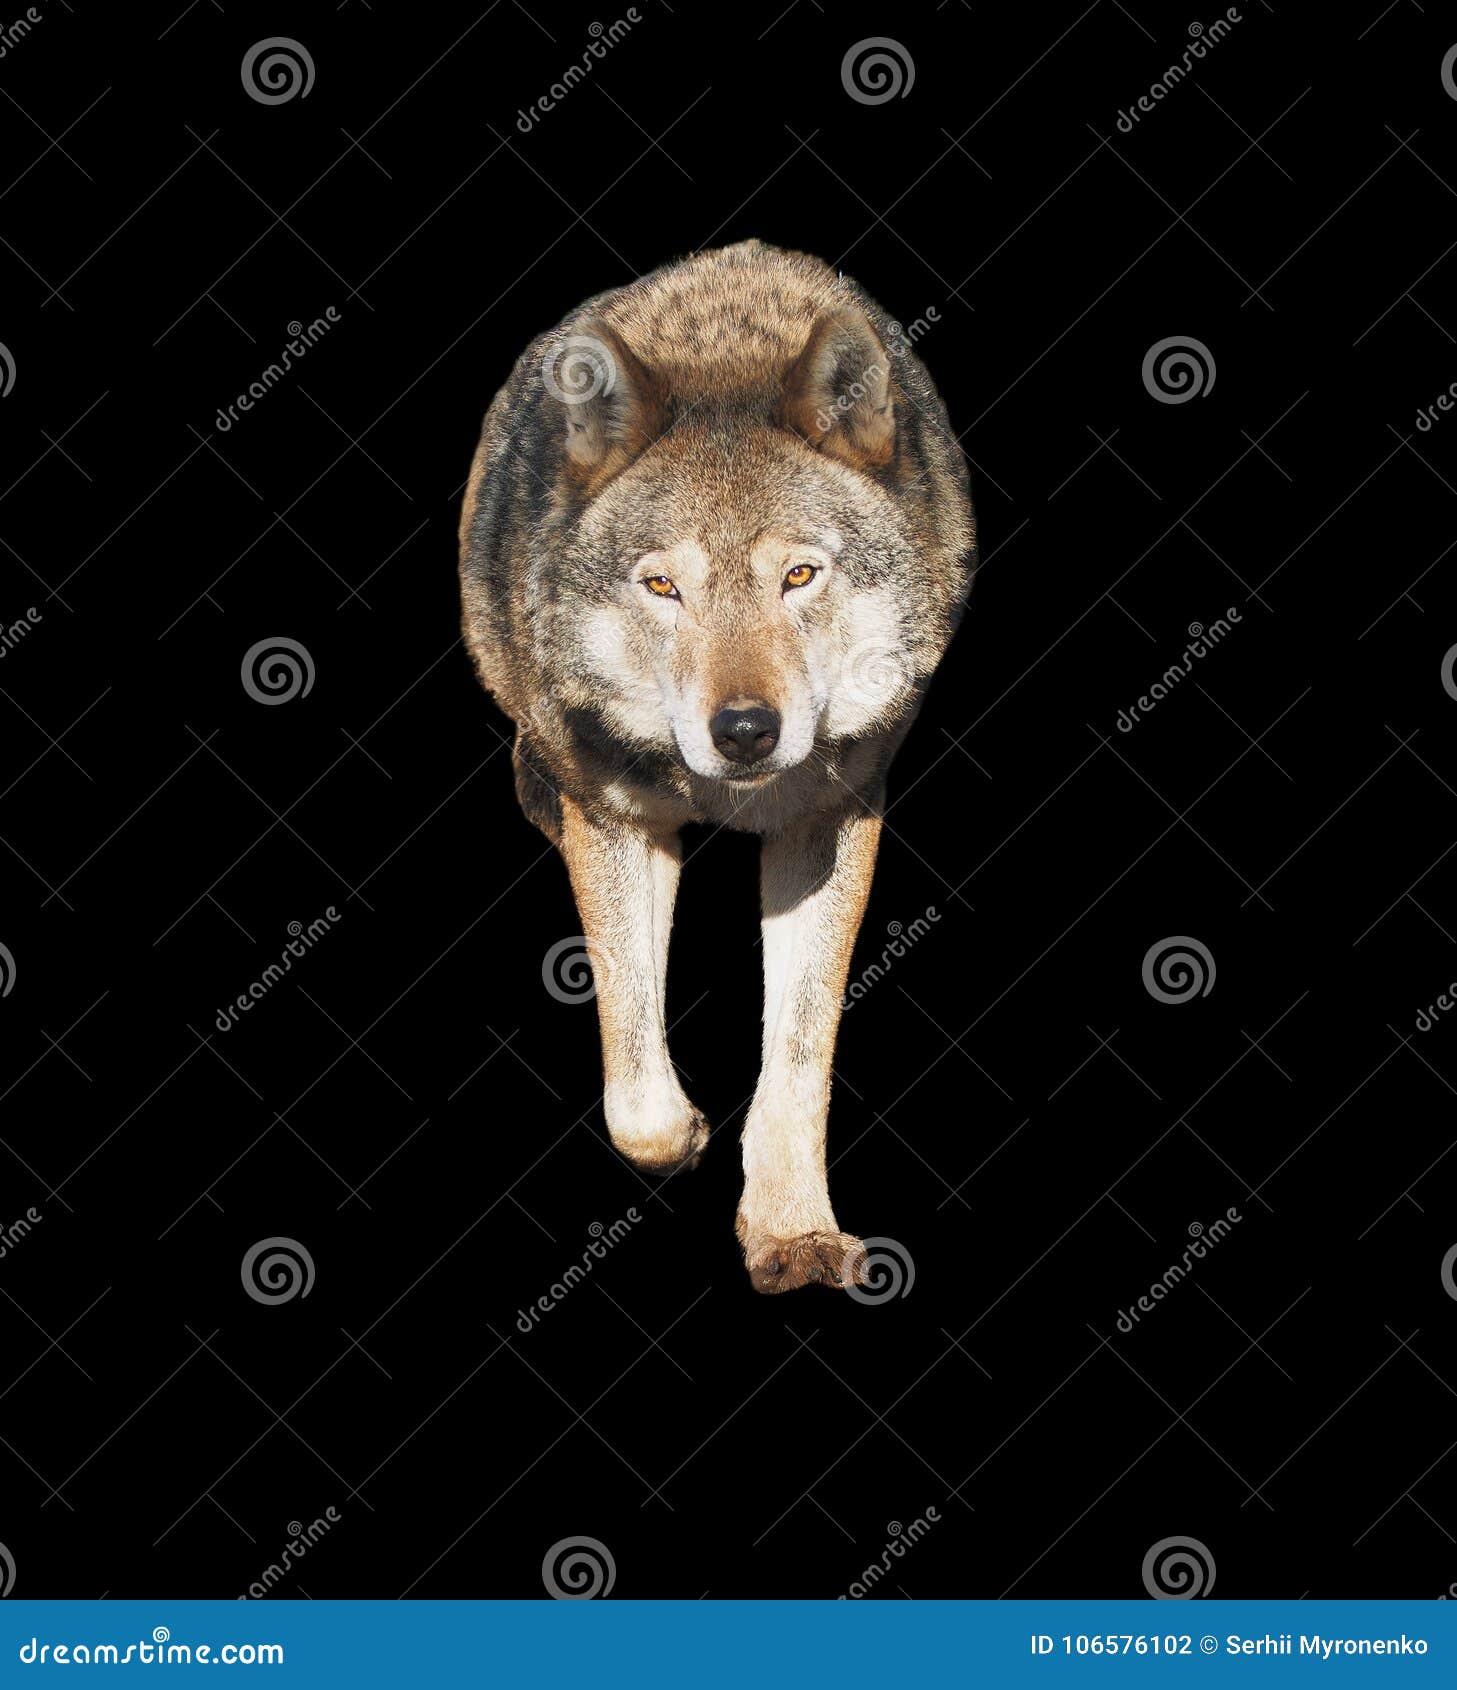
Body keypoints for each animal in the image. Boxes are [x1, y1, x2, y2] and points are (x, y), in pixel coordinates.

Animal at [458, 240, 975, 1293]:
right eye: (663, 585)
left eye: (798, 576)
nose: (743, 731)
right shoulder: (616, 821)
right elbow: (636, 1092)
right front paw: (688, 1133)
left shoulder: (829, 822)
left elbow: (799, 1056)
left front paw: (792, 1233)